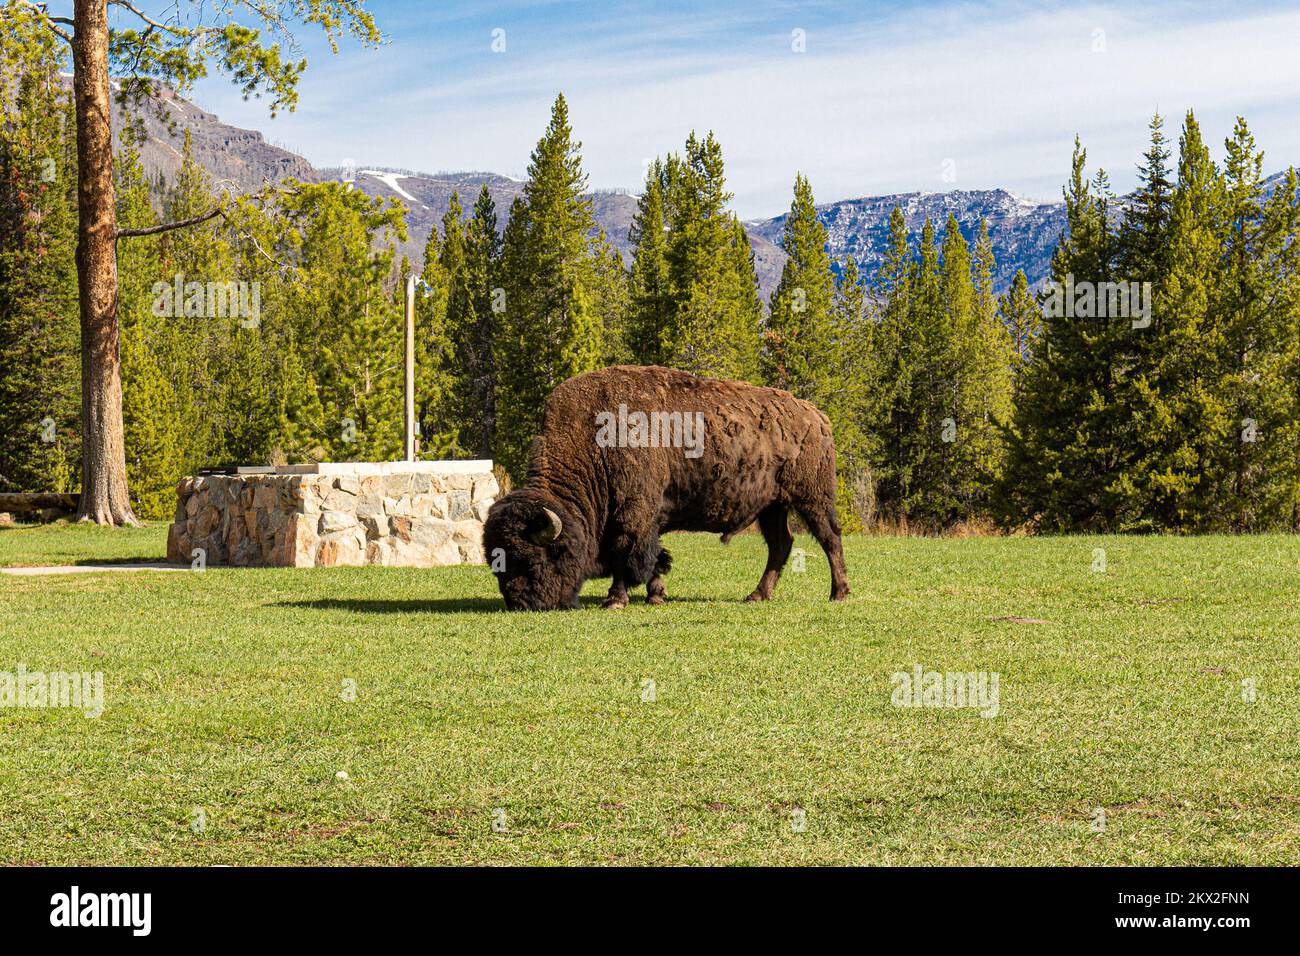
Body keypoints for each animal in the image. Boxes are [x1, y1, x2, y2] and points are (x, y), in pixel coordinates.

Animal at [483, 365, 849, 610]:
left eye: (533, 559)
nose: (519, 602)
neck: (593, 441)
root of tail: (817, 417)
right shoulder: (650, 518)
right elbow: (654, 557)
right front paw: (656, 595)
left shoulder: (632, 514)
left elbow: (625, 553)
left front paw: (615, 600)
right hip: (771, 507)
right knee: (780, 545)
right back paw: (757, 595)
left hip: (812, 498)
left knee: (829, 538)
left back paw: (839, 593)